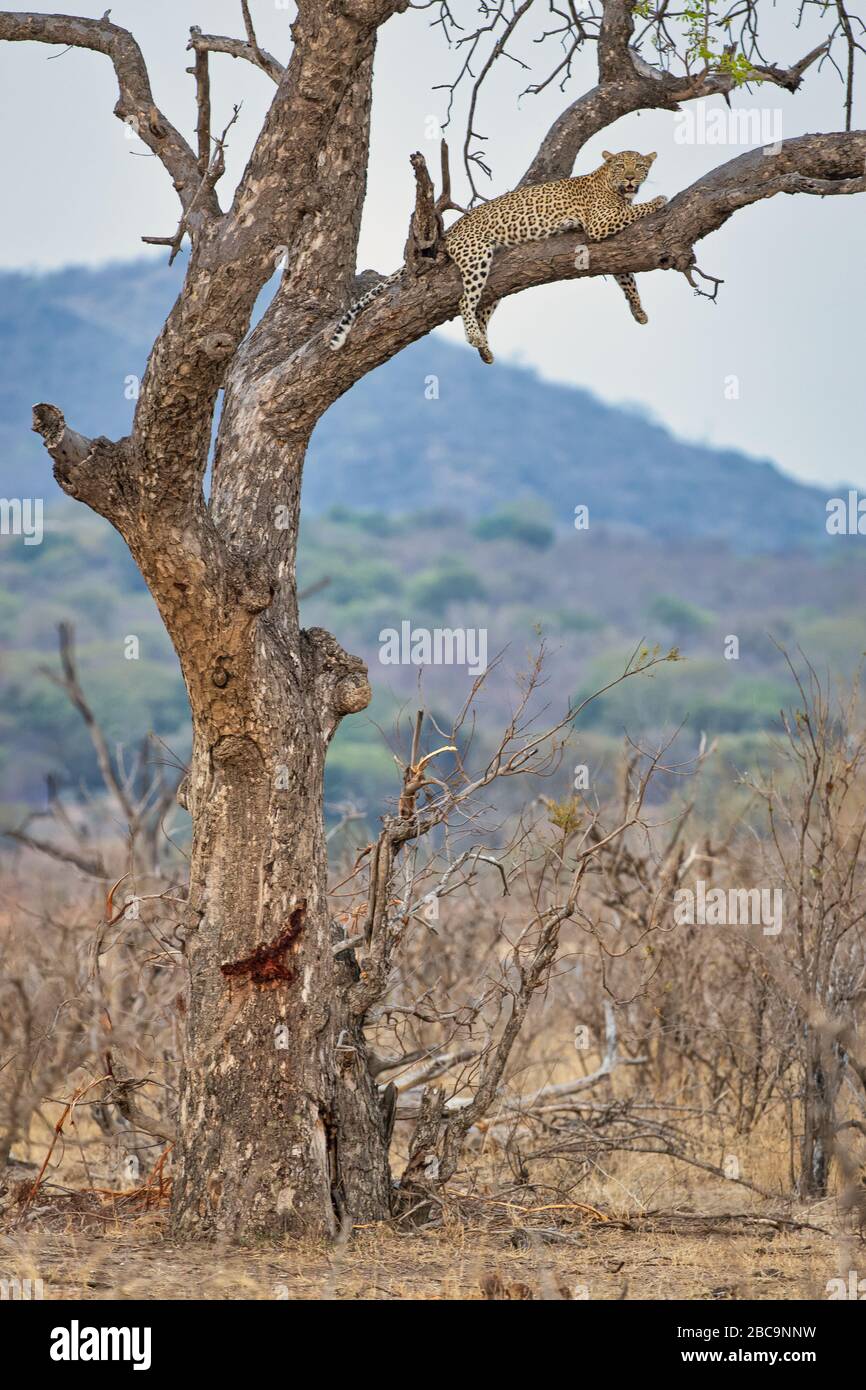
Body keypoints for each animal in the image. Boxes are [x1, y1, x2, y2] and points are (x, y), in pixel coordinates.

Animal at [329, 150, 666, 364]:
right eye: (620, 166)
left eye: (639, 165)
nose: (631, 179)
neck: (612, 186)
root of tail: (451, 229)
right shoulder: (600, 223)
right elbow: (634, 212)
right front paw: (659, 199)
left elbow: (627, 277)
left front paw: (639, 311)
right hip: (478, 255)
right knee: (465, 301)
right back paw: (476, 339)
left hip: (495, 276)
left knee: (481, 308)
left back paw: (484, 348)